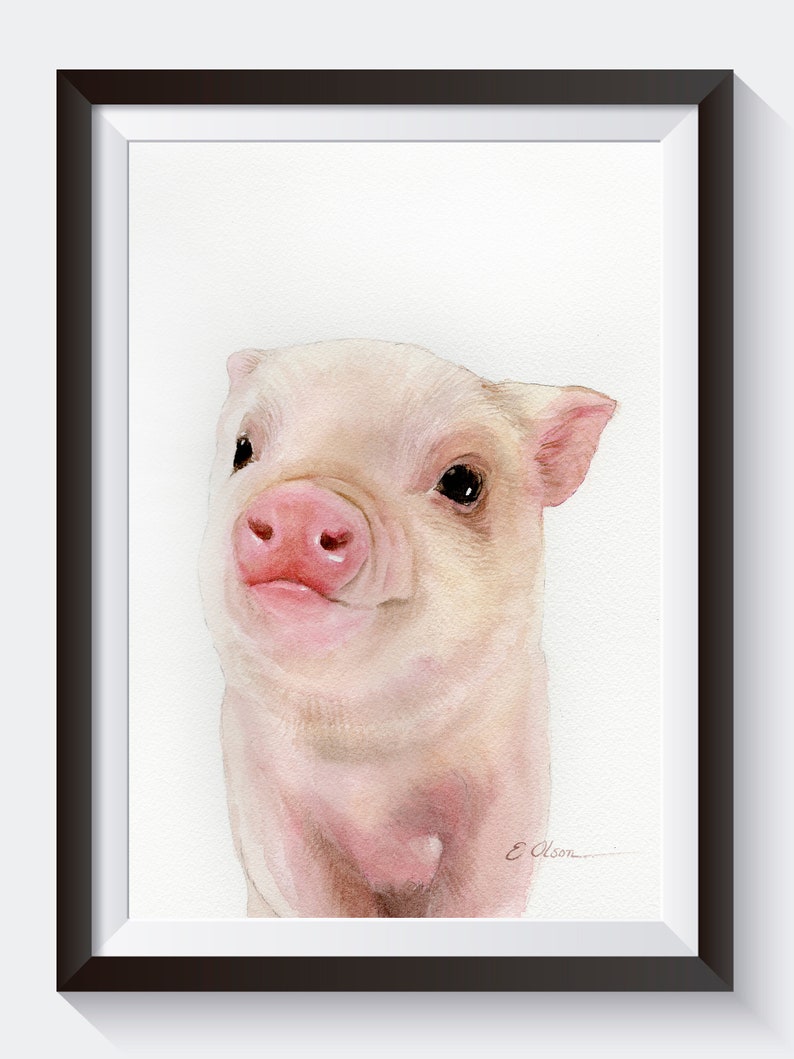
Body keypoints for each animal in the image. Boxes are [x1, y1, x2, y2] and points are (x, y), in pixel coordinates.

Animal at [199, 339, 615, 918]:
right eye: (243, 449)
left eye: (463, 482)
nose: (300, 503)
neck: (367, 753)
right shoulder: (260, 790)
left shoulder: (512, 784)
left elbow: (481, 890)